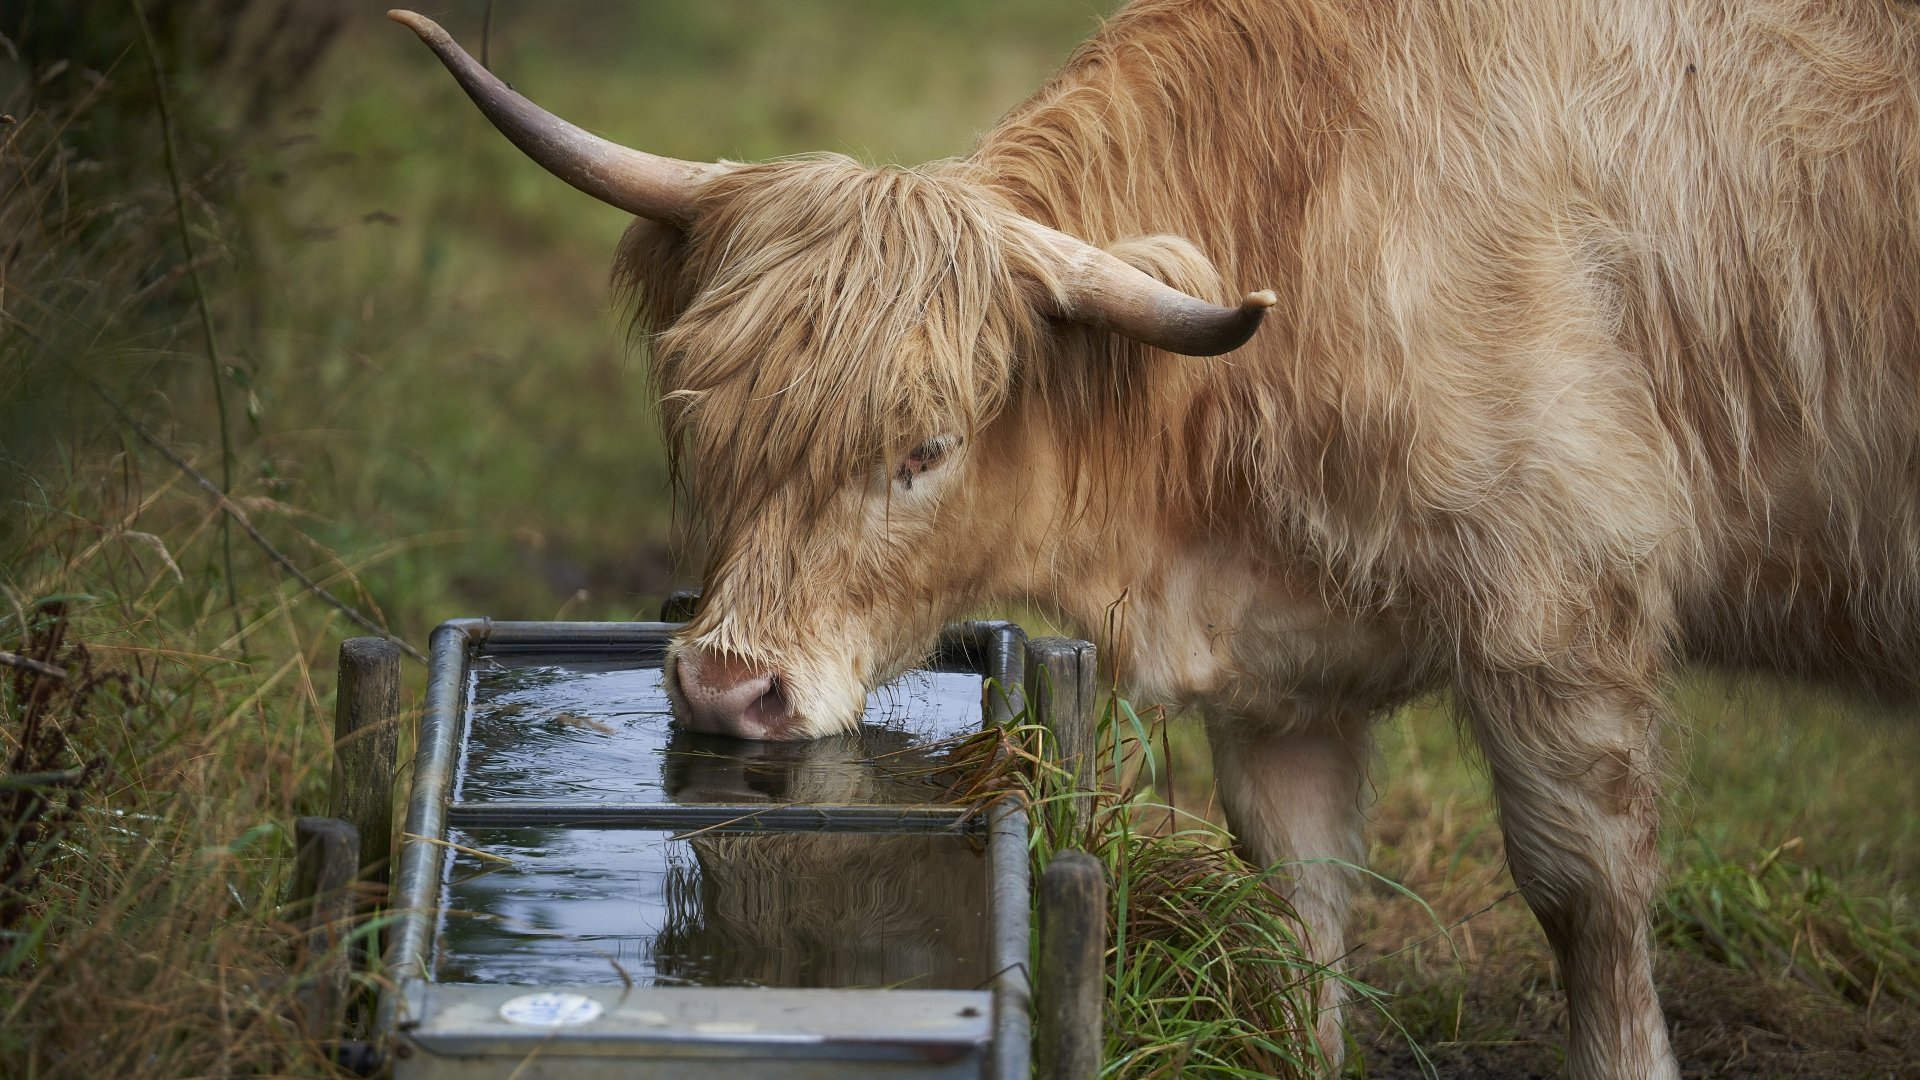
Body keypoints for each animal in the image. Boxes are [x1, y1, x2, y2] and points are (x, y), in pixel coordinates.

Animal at [392, 3, 1920, 1077]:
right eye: (699, 417)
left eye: (924, 450)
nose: (725, 688)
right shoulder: (1288, 689)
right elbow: (1300, 915)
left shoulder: (1565, 616)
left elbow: (1584, 907)